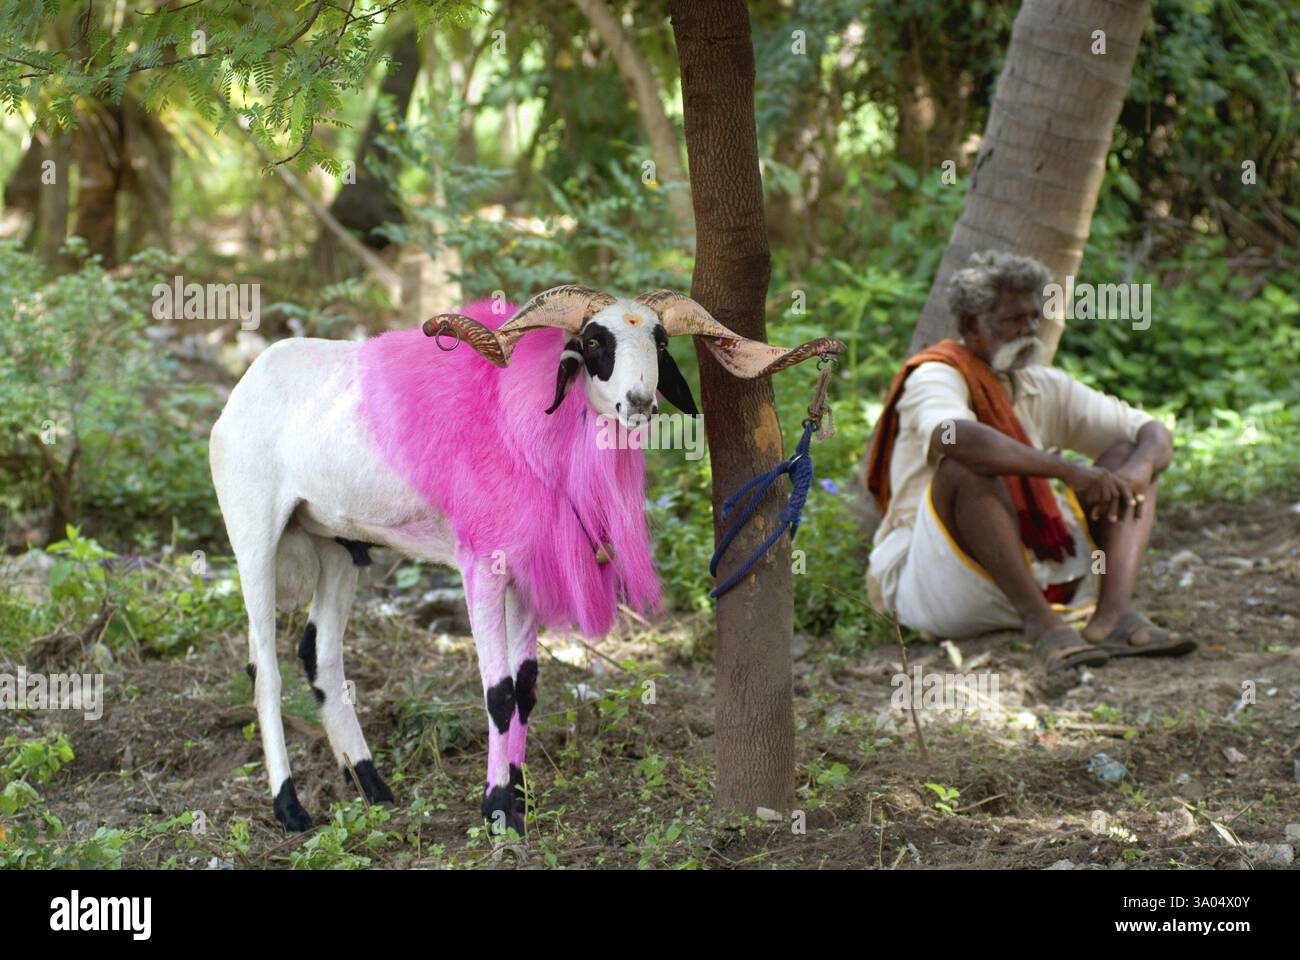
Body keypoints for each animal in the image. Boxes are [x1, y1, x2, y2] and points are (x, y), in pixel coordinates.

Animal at [209, 285, 841, 834]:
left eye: (660, 341)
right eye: (594, 341)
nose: (640, 403)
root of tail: (247, 385)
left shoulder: (528, 574)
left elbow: (528, 686)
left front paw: (518, 797)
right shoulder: (482, 569)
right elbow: (499, 693)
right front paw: (496, 812)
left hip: (338, 545)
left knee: (320, 656)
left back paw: (375, 790)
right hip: (253, 532)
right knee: (265, 668)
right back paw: (291, 810)